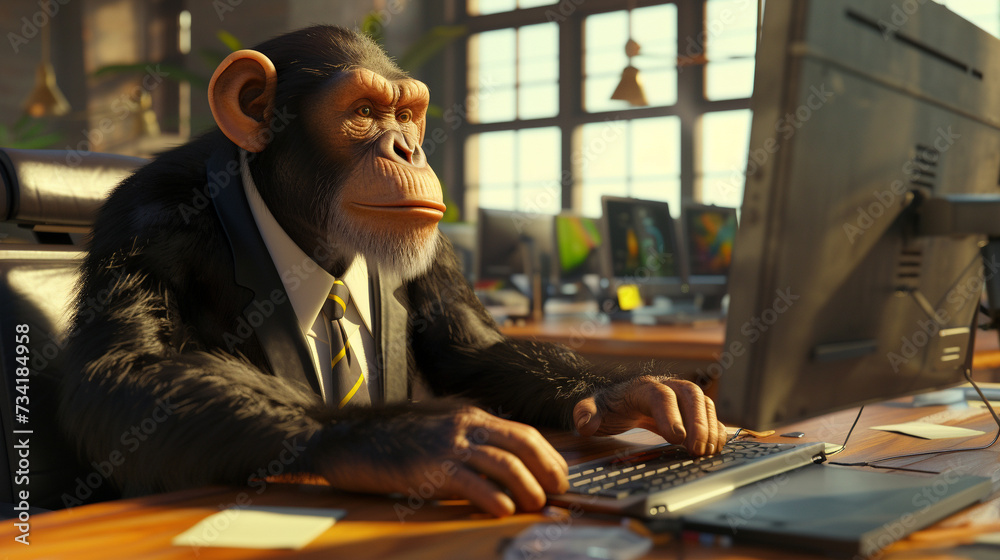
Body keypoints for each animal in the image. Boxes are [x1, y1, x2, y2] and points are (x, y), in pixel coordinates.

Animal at [58, 25, 726, 517]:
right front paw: (413, 441)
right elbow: (129, 371)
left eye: (406, 114)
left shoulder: (435, 251)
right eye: (362, 110)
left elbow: (471, 350)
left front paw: (632, 391)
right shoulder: (147, 220)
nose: (409, 149)